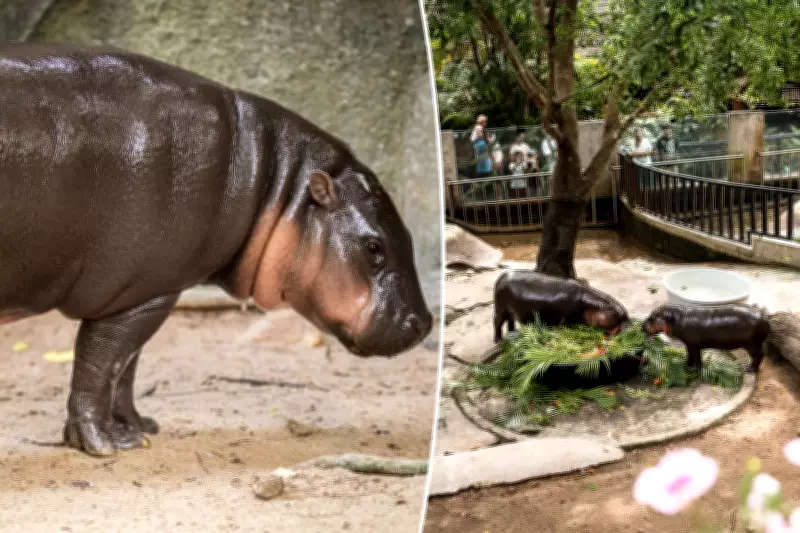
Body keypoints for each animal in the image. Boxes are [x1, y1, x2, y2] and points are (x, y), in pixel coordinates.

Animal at [0, 42, 433, 456]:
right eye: (374, 246)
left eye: (409, 238)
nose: (425, 323)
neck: (269, 179)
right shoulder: (135, 293)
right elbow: (101, 364)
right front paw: (107, 445)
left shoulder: (141, 295)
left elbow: (126, 368)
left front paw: (138, 428)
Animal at [493, 270, 630, 343]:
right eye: (618, 316)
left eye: (624, 315)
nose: (629, 326)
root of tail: (502, 276)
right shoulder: (564, 320)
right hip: (500, 309)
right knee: (497, 322)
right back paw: (498, 340)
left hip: (510, 311)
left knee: (510, 321)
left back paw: (512, 332)